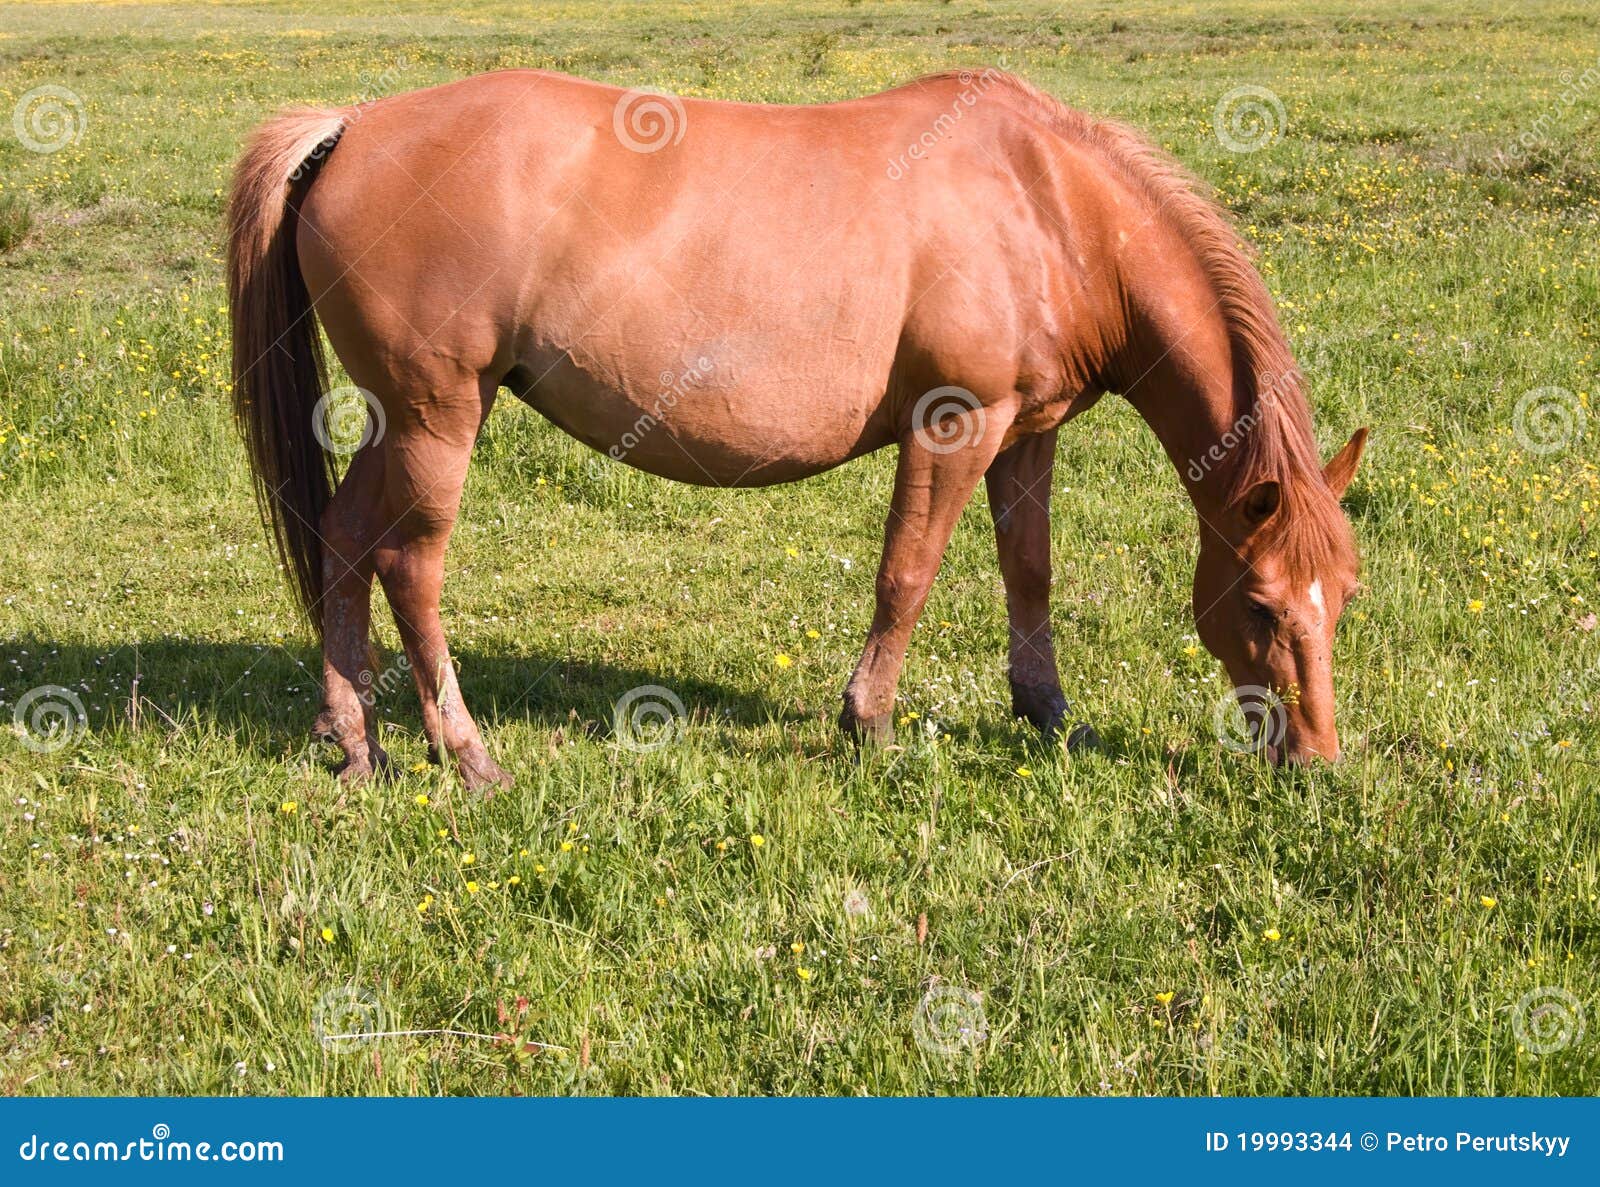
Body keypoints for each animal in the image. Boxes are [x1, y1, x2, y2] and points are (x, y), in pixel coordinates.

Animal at [227, 67, 1366, 790]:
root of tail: (352, 127)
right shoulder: (953, 424)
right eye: (1260, 603)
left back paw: (356, 742)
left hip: (395, 418)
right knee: (409, 565)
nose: (1313, 760)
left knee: (342, 540)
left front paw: (1046, 714)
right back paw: (463, 753)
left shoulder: (1024, 431)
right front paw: (867, 722)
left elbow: (1028, 572)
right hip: (438, 412)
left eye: (1344, 594)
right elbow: (907, 572)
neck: (1047, 204)